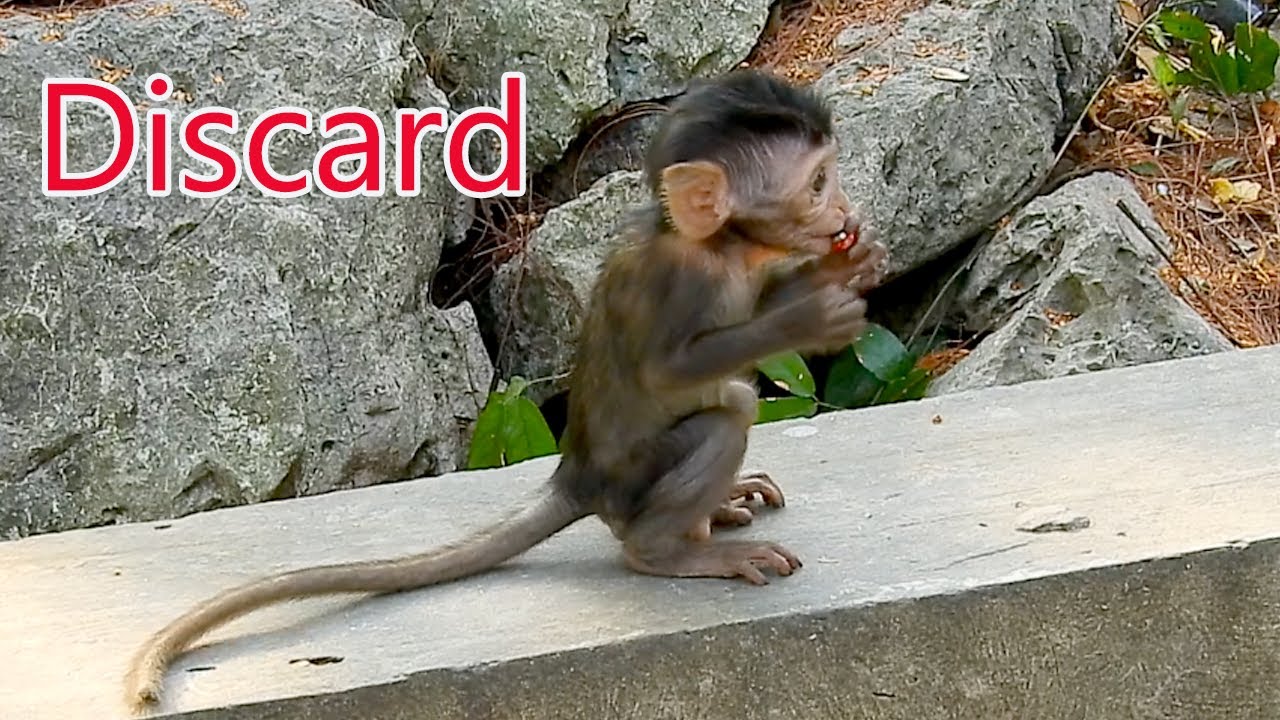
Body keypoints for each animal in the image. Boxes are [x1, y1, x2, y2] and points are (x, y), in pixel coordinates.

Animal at [123, 67, 891, 714]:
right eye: (818, 183)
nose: (844, 209)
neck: (721, 245)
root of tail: (576, 475)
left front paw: (840, 272)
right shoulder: (679, 278)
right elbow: (668, 372)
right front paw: (810, 317)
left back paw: (715, 511)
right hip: (631, 484)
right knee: (728, 405)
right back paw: (669, 550)